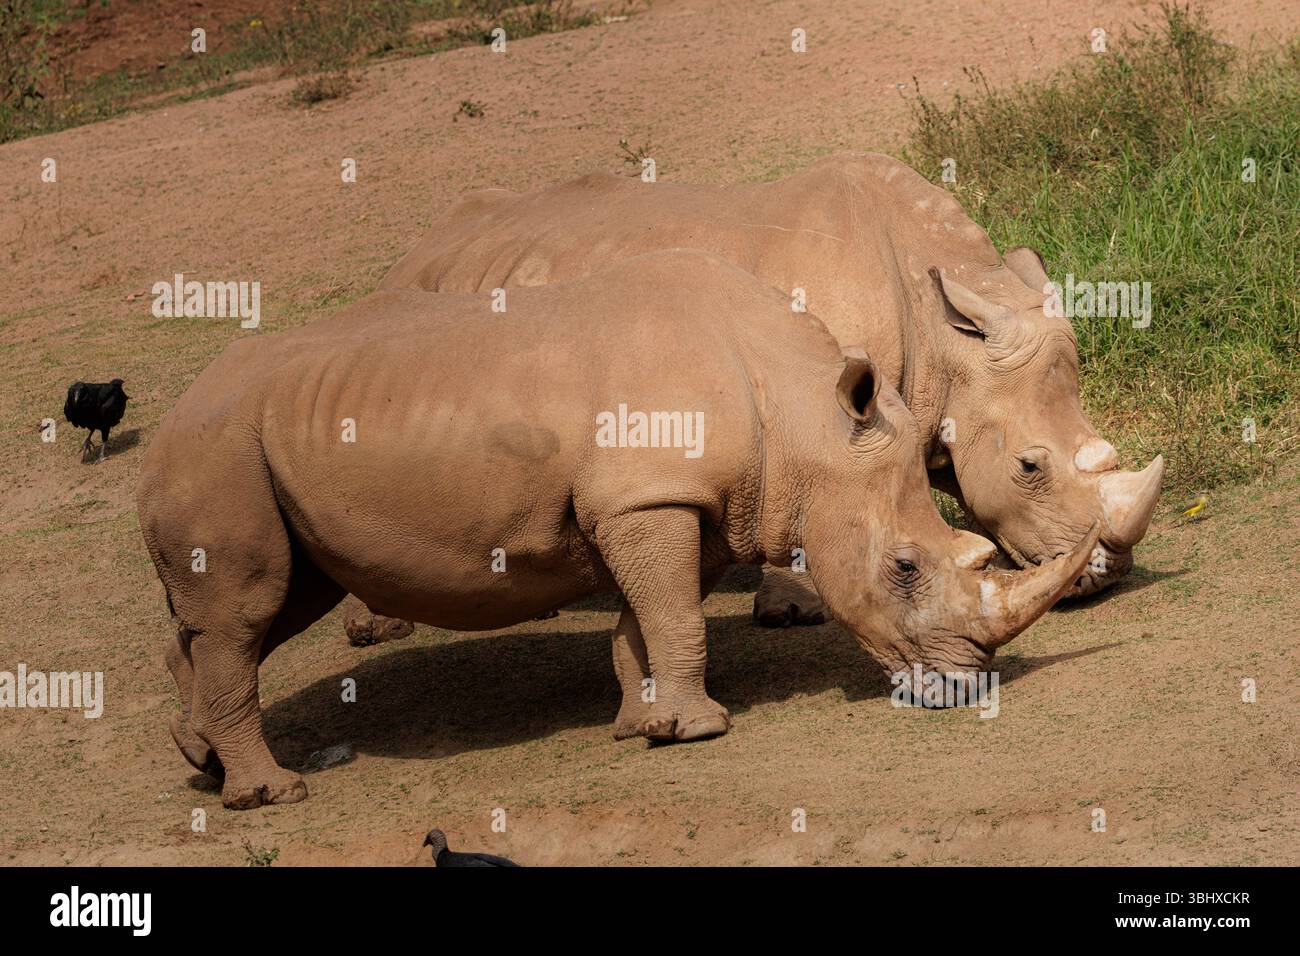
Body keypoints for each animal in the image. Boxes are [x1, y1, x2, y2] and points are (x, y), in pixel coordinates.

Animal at [139, 251, 1096, 809]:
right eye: (903, 568)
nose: (964, 688)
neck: (804, 421)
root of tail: (164, 424)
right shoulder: (651, 499)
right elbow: (672, 615)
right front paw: (701, 731)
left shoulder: (676, 503)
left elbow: (647, 620)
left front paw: (646, 727)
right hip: (217, 451)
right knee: (246, 611)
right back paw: (270, 795)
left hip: (254, 447)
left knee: (260, 610)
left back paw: (202, 761)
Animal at [367, 152, 1162, 638]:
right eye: (1030, 467)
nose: (1108, 574)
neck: (942, 334)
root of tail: (418, 249)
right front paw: (795, 610)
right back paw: (382, 626)